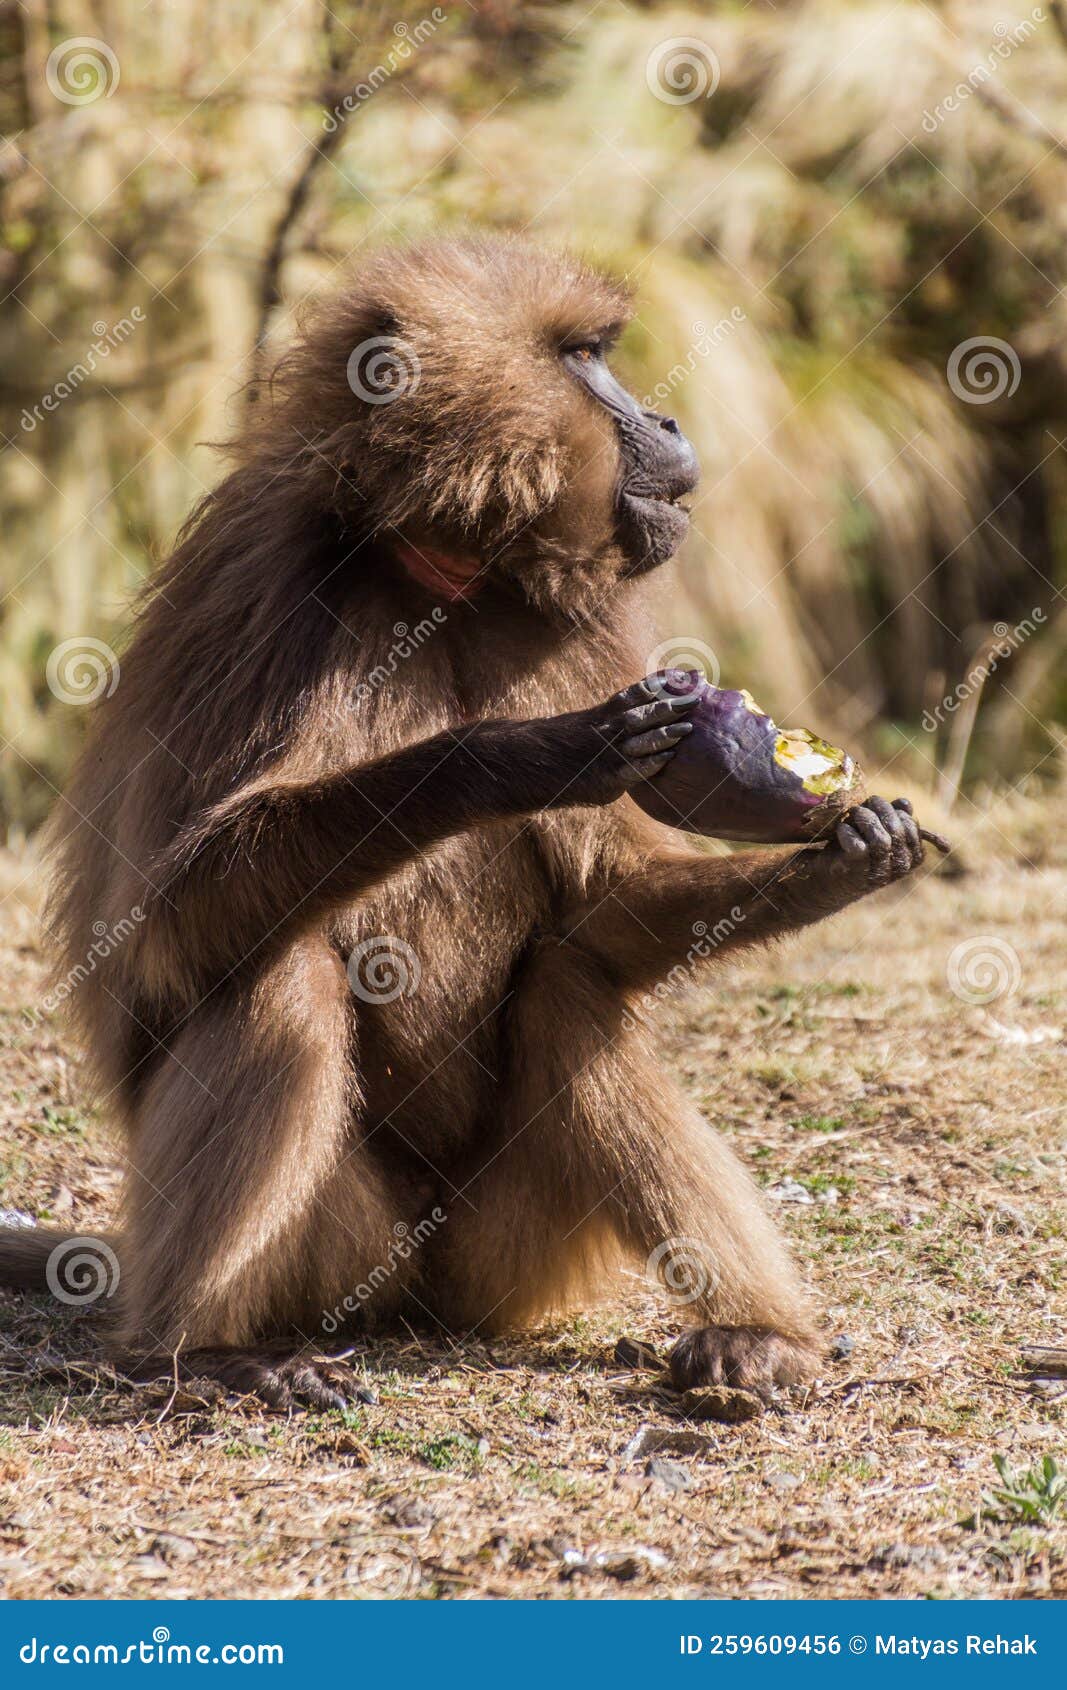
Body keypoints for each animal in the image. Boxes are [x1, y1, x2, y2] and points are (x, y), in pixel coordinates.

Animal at [0, 237, 934, 1411]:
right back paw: (197, 1352)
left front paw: (844, 858)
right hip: (333, 1246)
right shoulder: (256, 590)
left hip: (512, 1256)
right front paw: (510, 757)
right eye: (586, 359)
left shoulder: (574, 630)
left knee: (568, 993)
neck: (438, 572)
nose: (669, 421)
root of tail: (416, 1292)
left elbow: (603, 900)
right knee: (283, 978)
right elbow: (167, 913)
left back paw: (754, 1335)